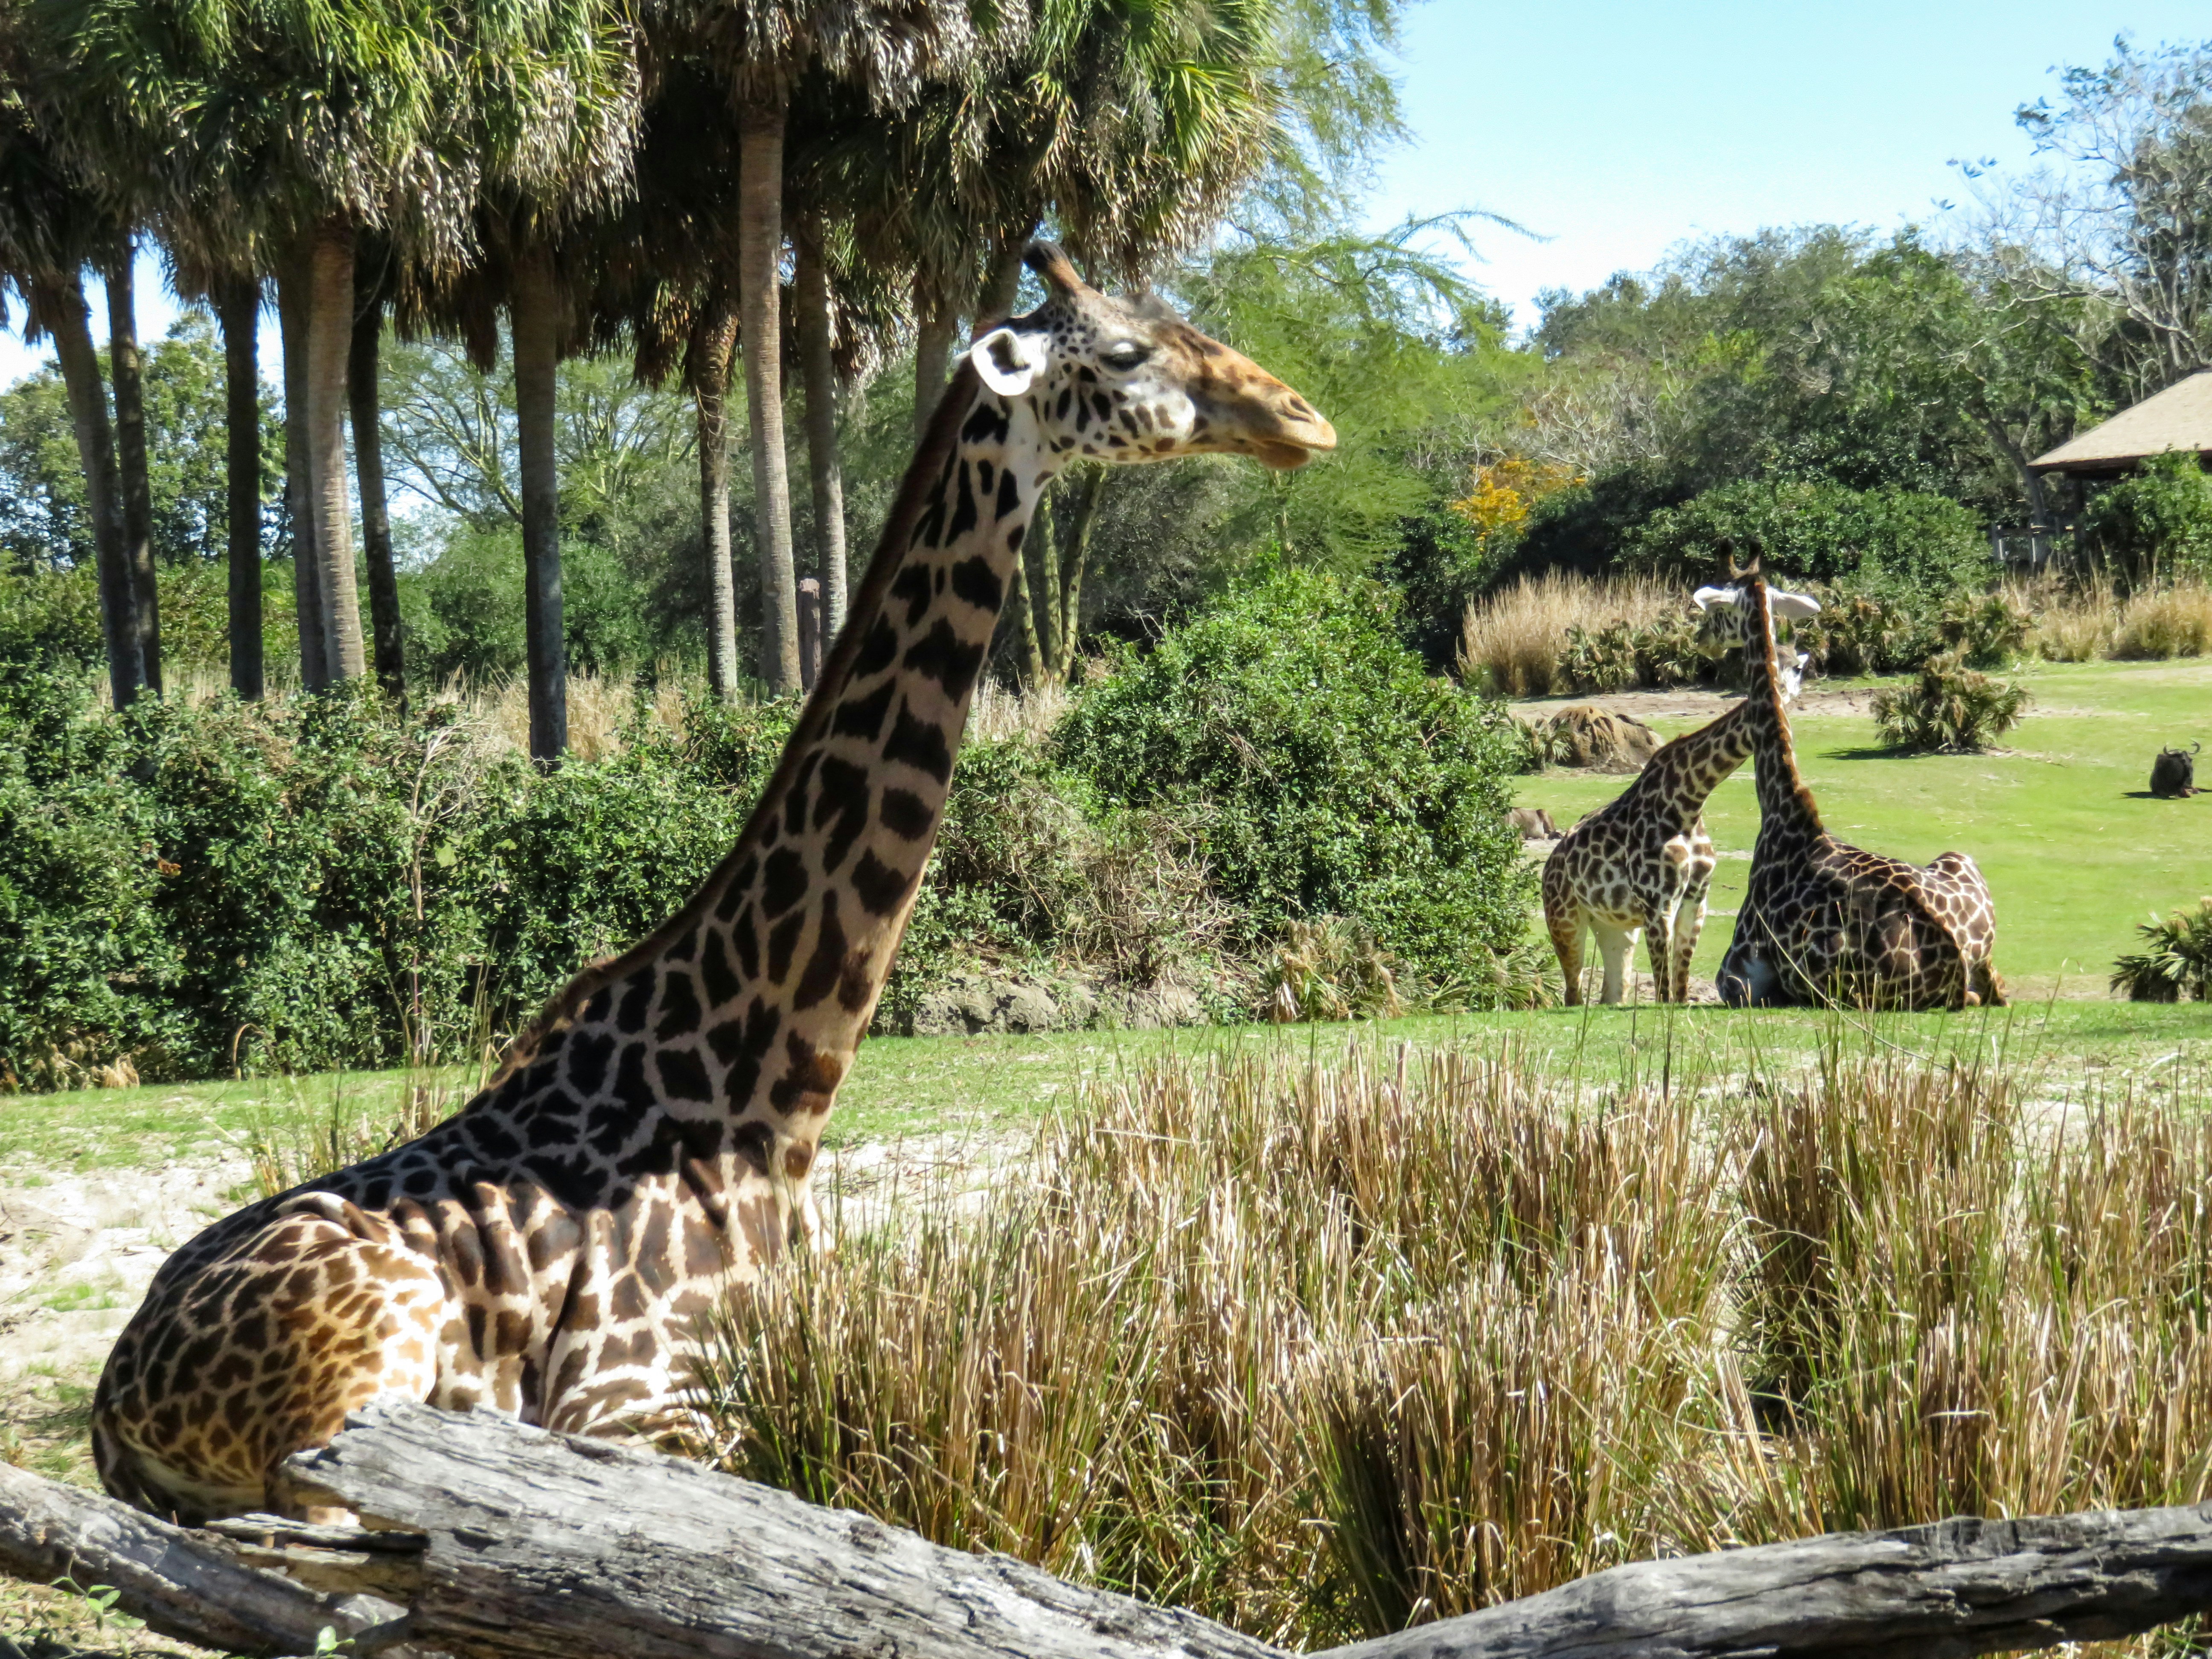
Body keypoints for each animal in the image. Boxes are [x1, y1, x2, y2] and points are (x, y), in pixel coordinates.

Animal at [90, 243, 1336, 1524]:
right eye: (1125, 353)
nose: (1303, 419)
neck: (773, 1095)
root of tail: (114, 1399)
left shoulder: (802, 1383)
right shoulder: (630, 1406)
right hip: (364, 1386)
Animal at [1541, 598, 1813, 1006]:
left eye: (1797, 668)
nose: (1777, 694)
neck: (1690, 799)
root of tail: (1550, 866)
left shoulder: (1696, 899)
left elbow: (1679, 990)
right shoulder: (1658, 902)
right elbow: (1663, 992)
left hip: (1616, 928)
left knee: (1612, 994)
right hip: (1565, 919)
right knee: (1573, 993)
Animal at [1699, 570, 2003, 1011]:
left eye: (1718, 612)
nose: (1701, 637)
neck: (1779, 806)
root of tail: (1954, 973)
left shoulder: (1737, 978)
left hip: (1838, 989)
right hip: (1960, 863)